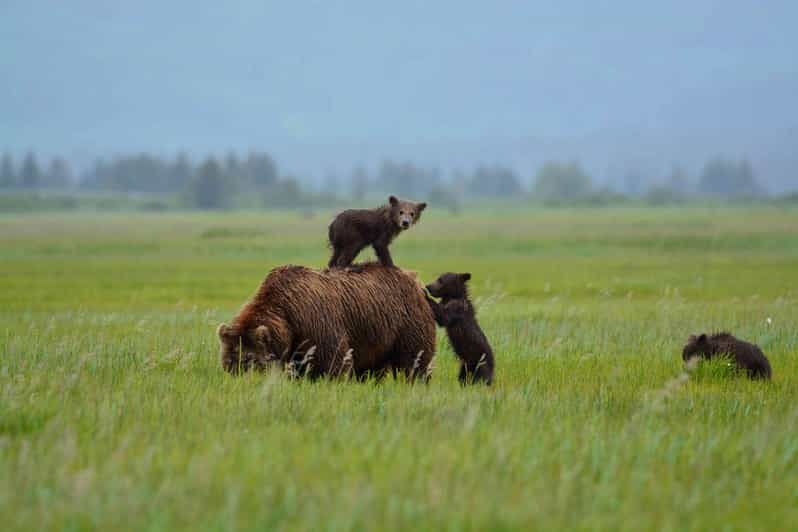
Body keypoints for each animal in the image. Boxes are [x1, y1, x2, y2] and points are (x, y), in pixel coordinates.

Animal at [217, 262, 436, 381]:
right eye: (228, 362)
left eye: (248, 360)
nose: (239, 380)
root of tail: (413, 277)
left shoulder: (316, 323)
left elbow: (332, 362)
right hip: (376, 337)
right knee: (373, 369)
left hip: (406, 322)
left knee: (414, 359)